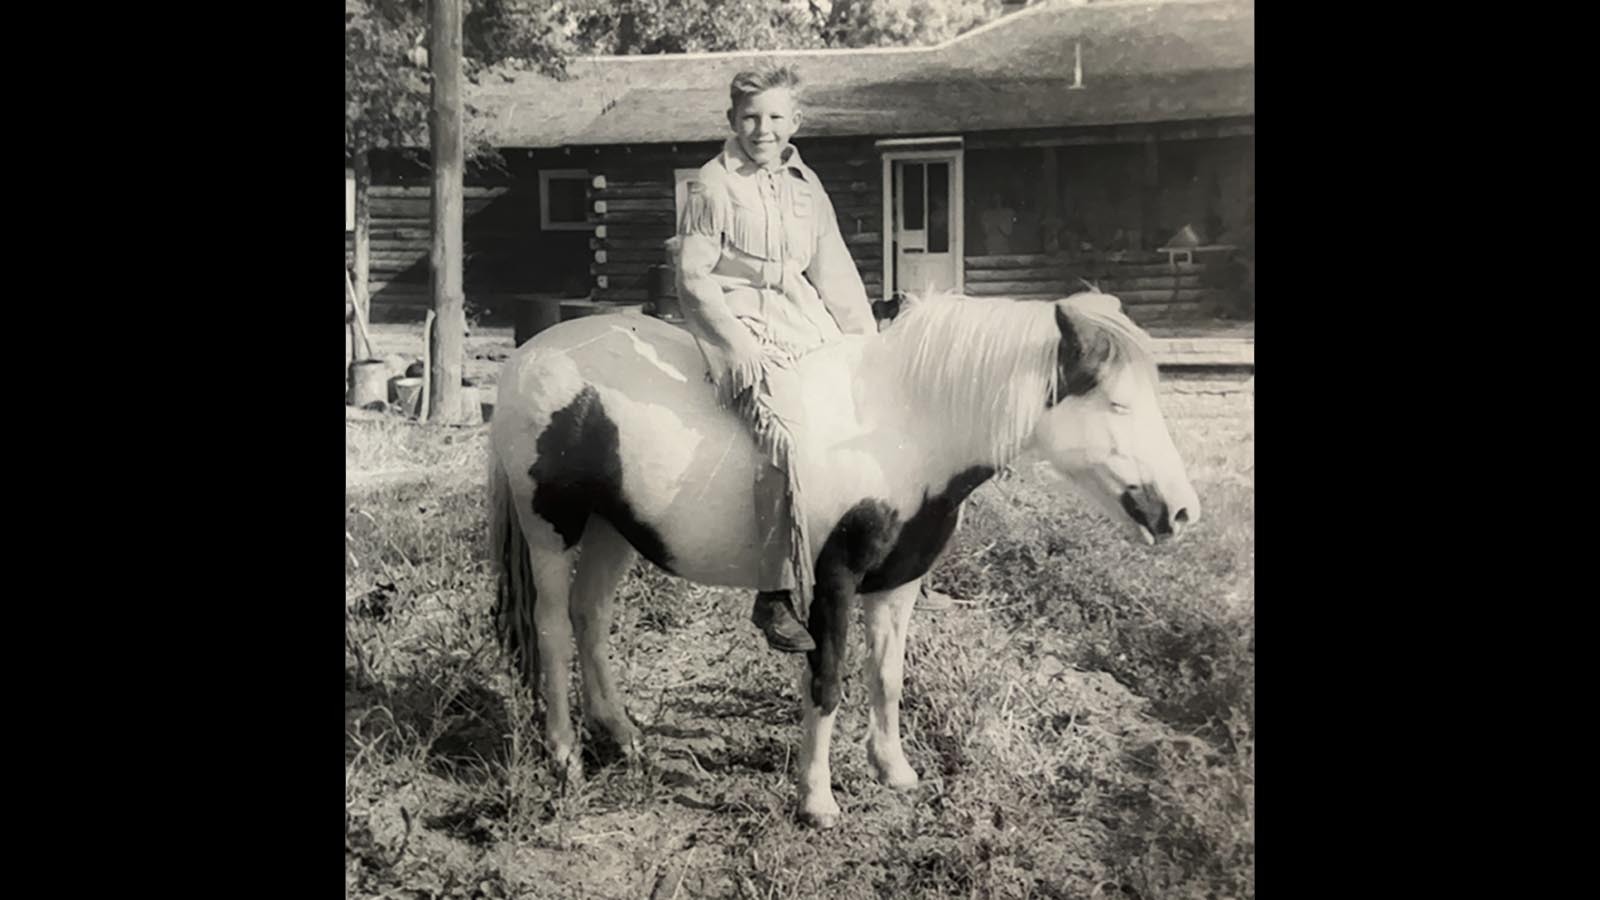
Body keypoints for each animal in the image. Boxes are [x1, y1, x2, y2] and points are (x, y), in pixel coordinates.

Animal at [486, 290, 1200, 828]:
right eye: (1117, 403)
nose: (1182, 511)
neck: (903, 429)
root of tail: (528, 356)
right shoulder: (833, 582)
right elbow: (827, 683)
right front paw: (817, 800)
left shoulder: (898, 584)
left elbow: (886, 678)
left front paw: (894, 770)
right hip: (552, 532)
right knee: (553, 630)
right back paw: (565, 755)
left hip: (613, 532)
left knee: (591, 619)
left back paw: (623, 735)